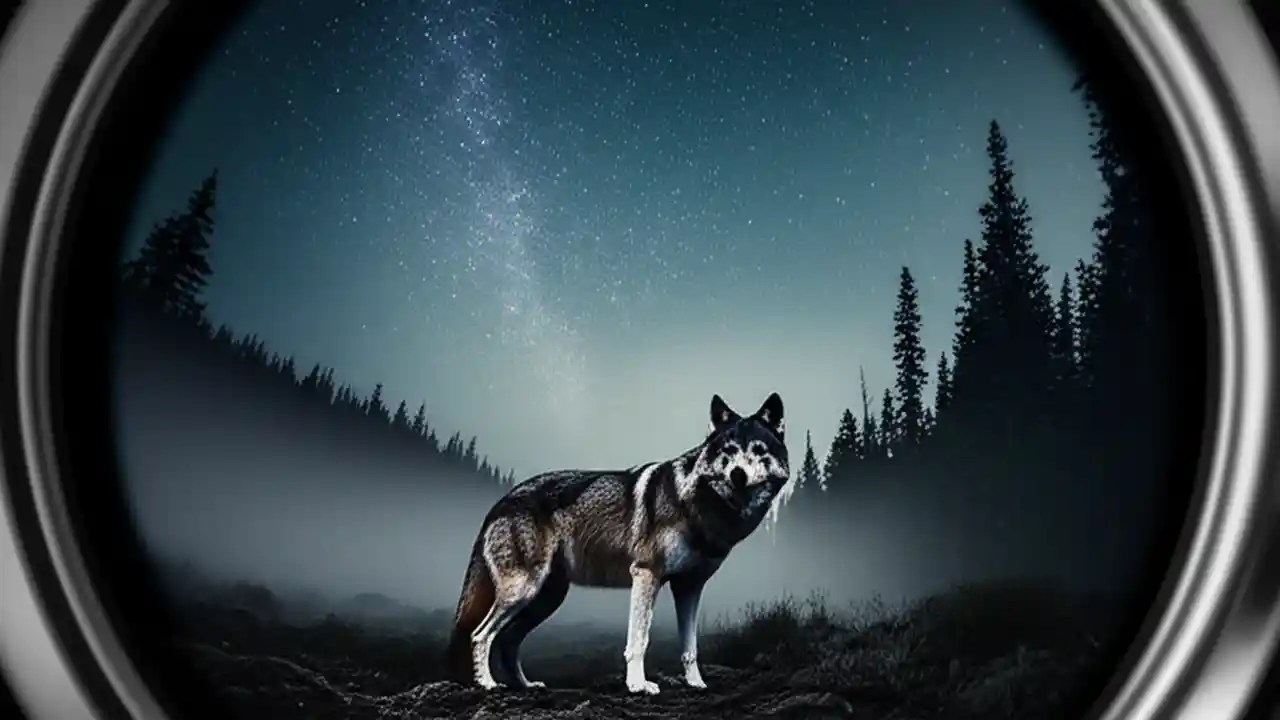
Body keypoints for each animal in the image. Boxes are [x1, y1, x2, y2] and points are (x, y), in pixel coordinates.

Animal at [445, 393, 791, 694]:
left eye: (759, 450)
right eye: (728, 451)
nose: (738, 475)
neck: (700, 506)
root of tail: (500, 502)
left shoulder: (689, 588)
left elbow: (690, 647)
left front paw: (696, 684)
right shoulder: (646, 575)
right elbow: (639, 641)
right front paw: (638, 686)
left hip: (545, 599)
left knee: (507, 641)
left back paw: (525, 686)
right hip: (523, 591)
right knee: (481, 635)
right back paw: (488, 684)